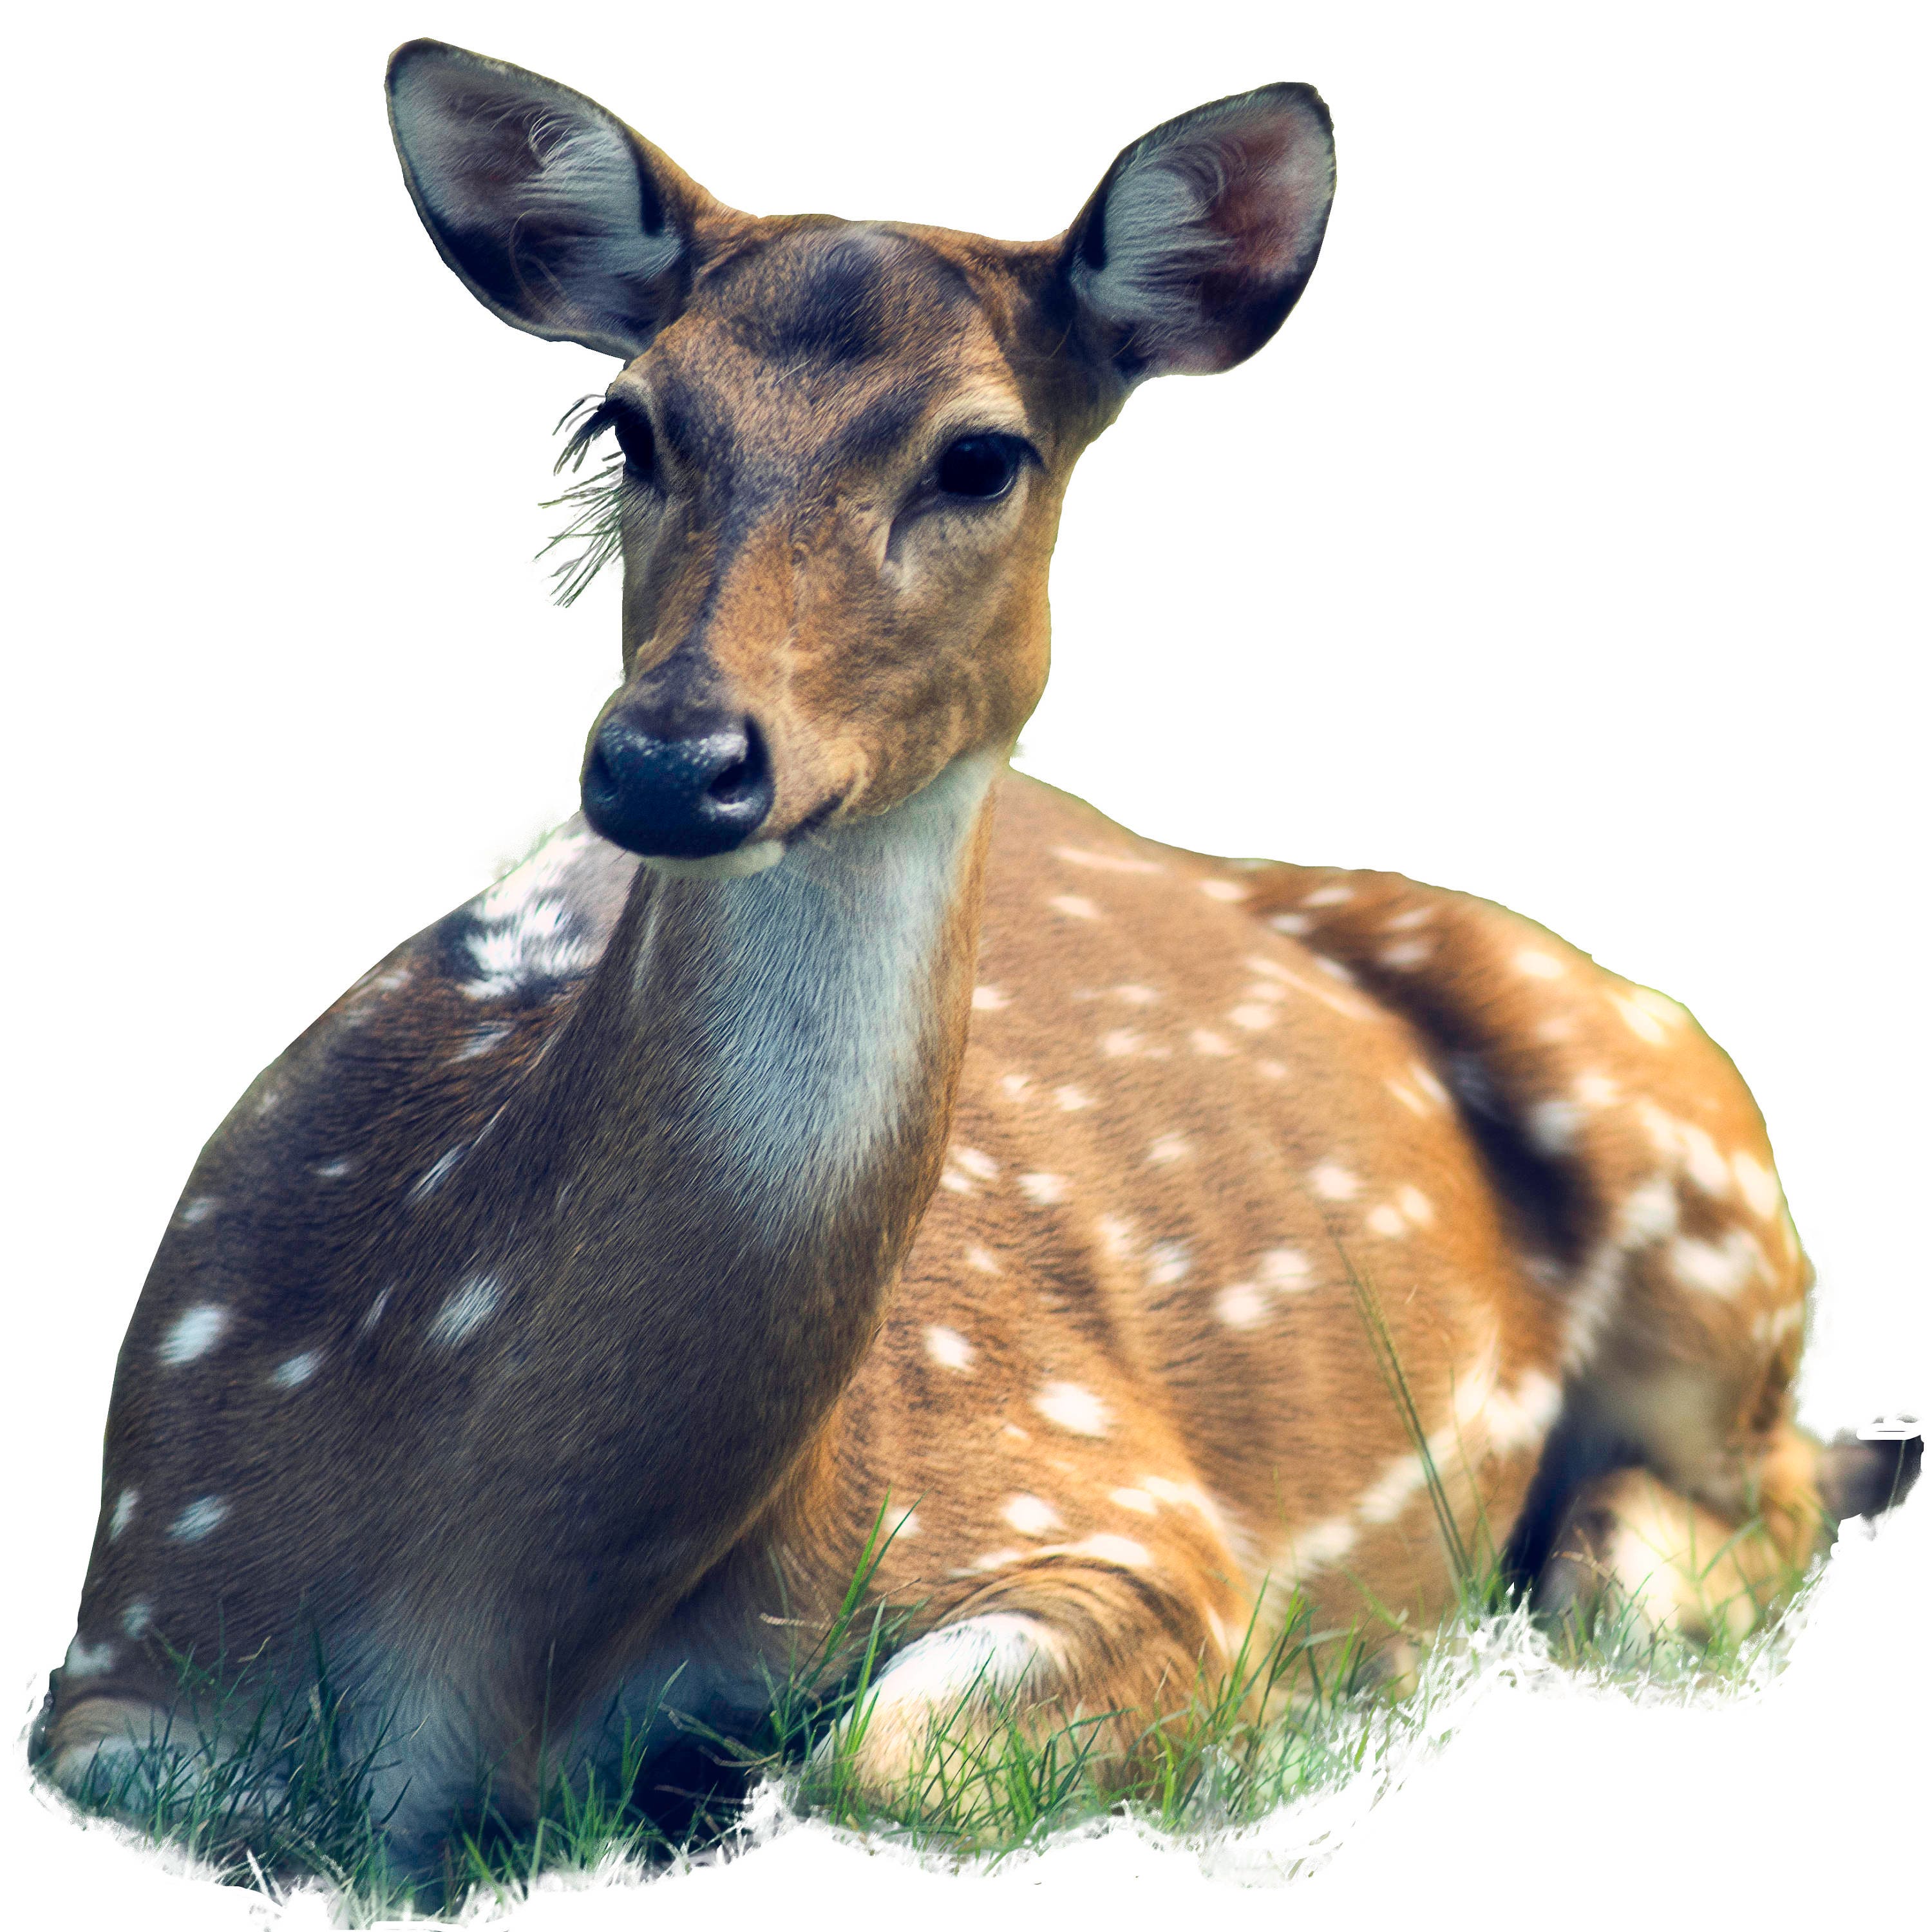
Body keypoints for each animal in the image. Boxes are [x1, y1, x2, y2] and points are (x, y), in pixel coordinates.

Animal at [37, 36, 1918, 1891]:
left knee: (1743, 1510)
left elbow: (893, 1763)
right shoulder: (125, 1639)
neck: (479, 1613)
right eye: (627, 418)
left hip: (1697, 1163)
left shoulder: (1128, 1519)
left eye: (979, 454)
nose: (670, 758)